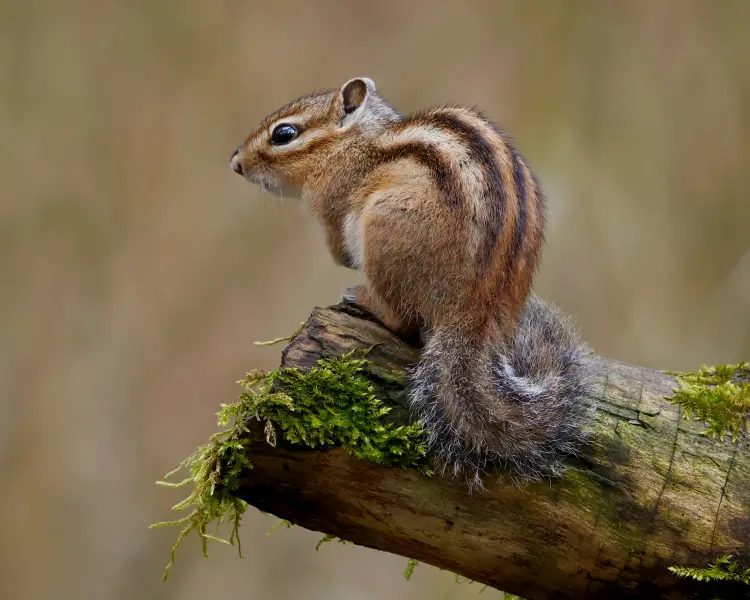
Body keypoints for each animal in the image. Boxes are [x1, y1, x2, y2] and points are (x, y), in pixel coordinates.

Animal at [230, 77, 594, 487]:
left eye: (284, 134)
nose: (235, 162)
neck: (357, 142)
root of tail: (472, 313)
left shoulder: (332, 204)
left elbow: (338, 247)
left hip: (382, 231)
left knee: (404, 322)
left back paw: (362, 300)